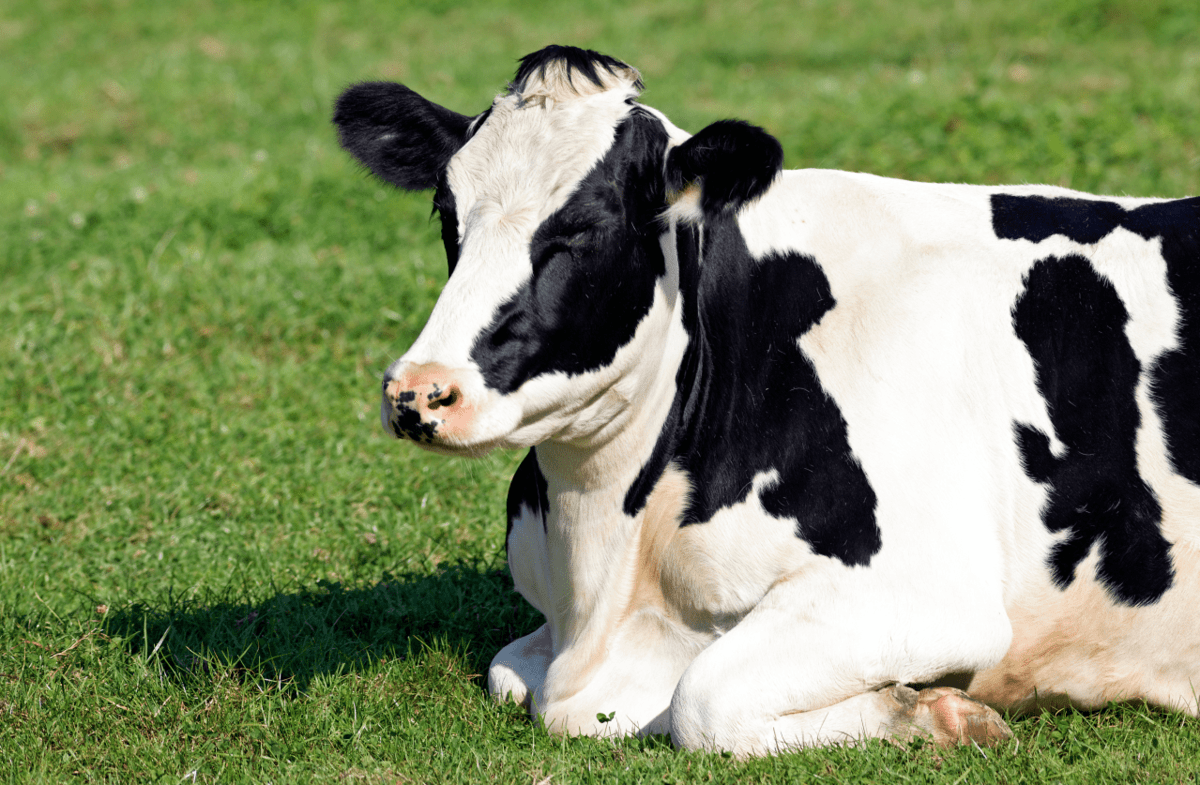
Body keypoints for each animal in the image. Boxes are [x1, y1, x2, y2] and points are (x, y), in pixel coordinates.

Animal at [334, 45, 1200, 756]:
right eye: (447, 212)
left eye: (588, 227)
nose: (419, 391)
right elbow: (507, 669)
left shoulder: (928, 595)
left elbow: (704, 701)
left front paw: (936, 713)